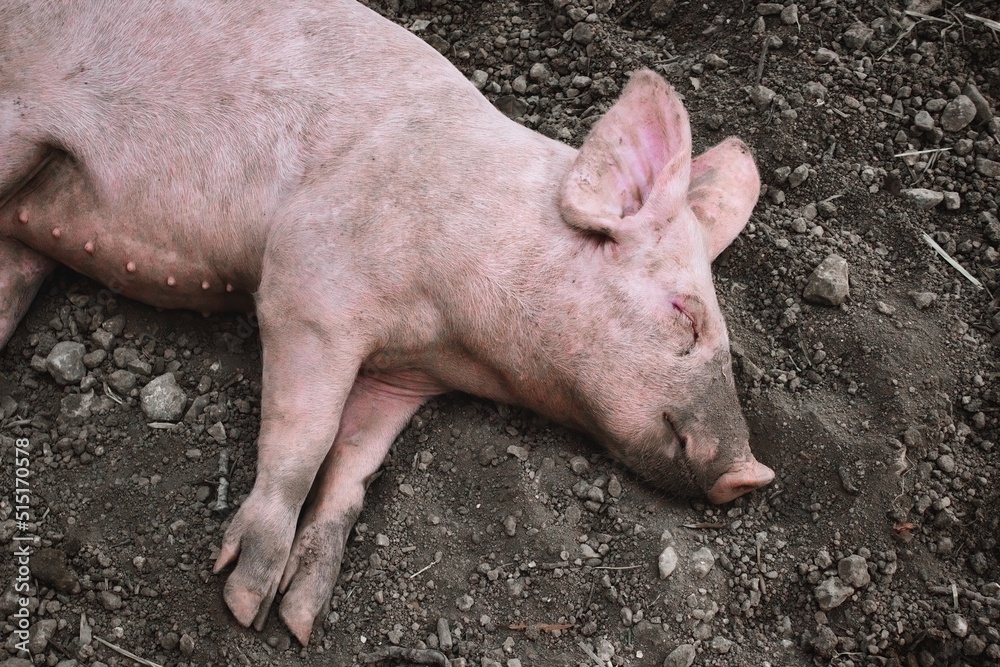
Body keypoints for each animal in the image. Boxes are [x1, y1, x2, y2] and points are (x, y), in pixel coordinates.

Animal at [0, 0, 773, 645]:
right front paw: (246, 604)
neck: (454, 338)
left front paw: (301, 617)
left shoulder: (400, 379)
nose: (751, 474)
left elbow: (354, 466)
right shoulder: (306, 282)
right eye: (685, 312)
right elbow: (305, 439)